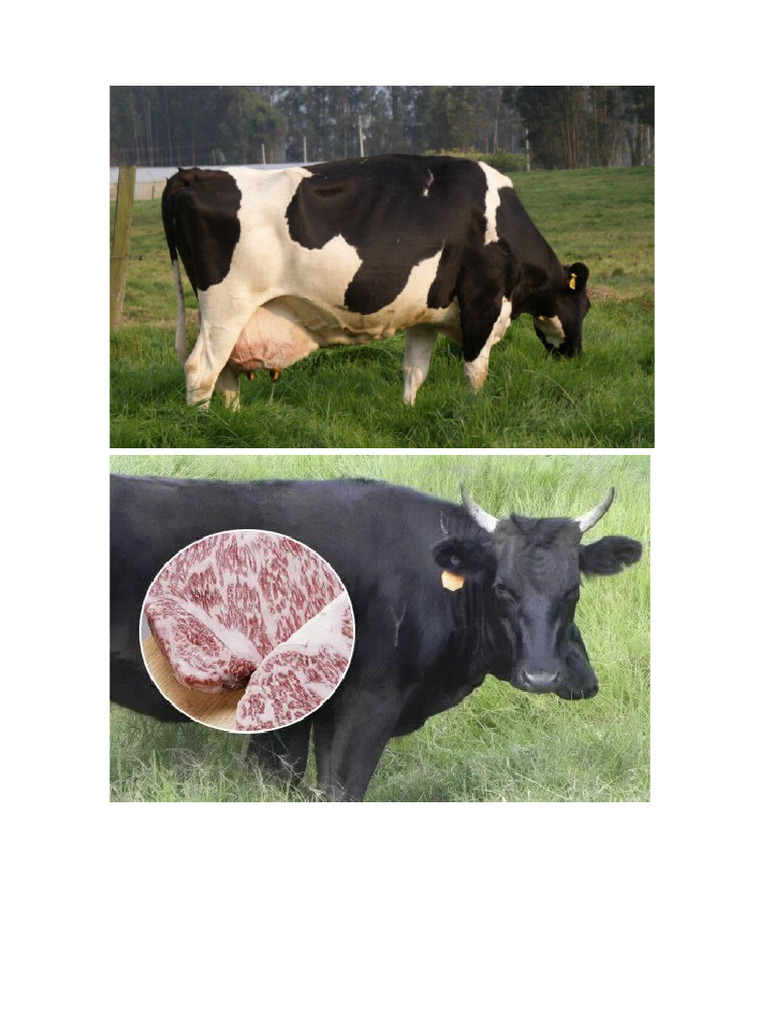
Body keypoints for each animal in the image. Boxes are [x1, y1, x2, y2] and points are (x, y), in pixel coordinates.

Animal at [161, 155, 591, 409]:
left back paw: (231, 420)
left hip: (233, 317)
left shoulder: (426, 313)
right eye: (586, 306)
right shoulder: (483, 303)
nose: (576, 356)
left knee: (226, 375)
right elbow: (475, 371)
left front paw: (408, 411)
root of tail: (197, 175)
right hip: (226, 305)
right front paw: (475, 411)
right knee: (200, 370)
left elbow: (414, 371)